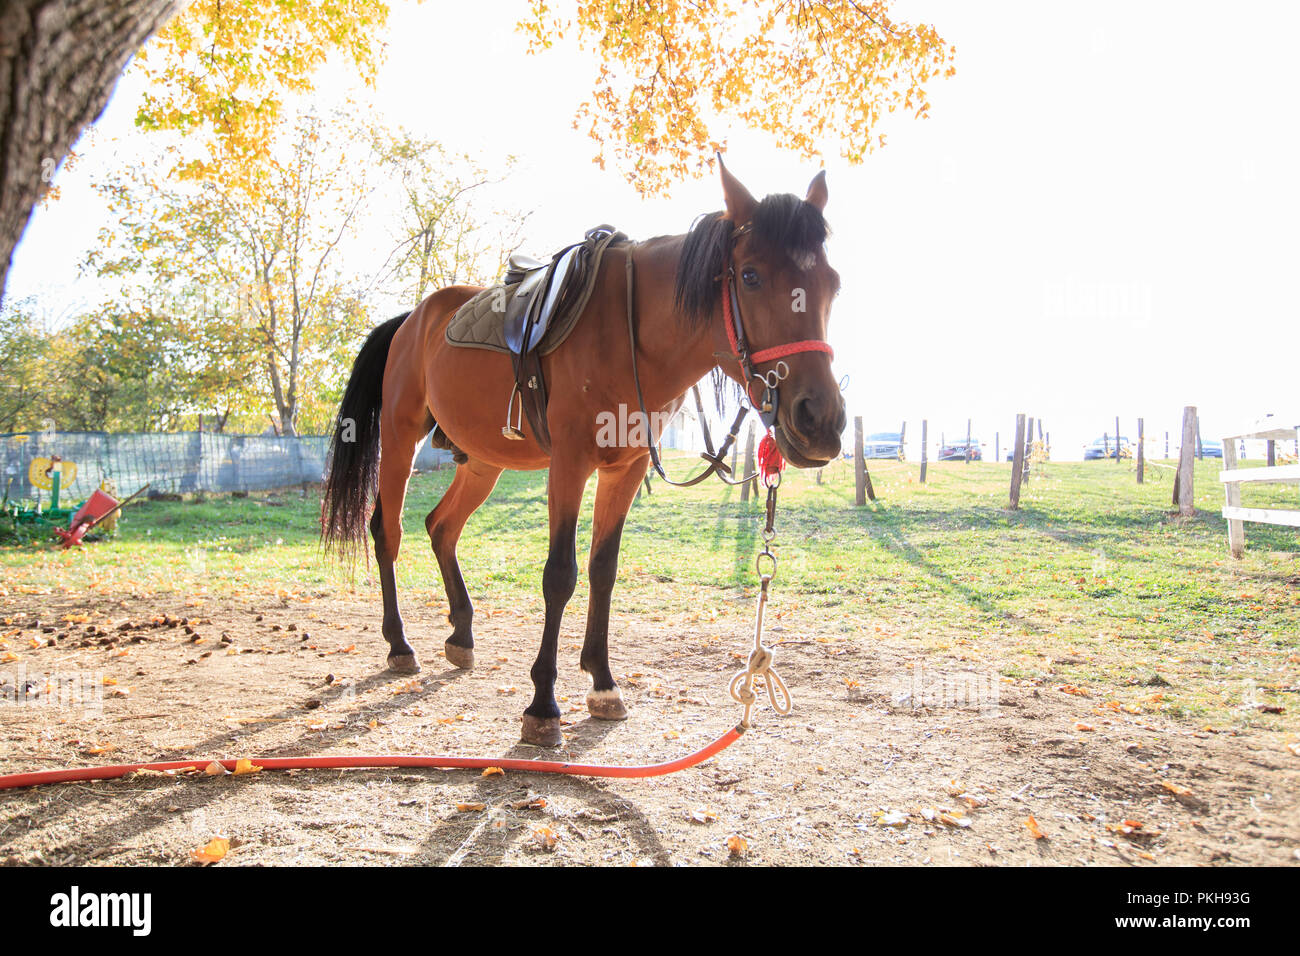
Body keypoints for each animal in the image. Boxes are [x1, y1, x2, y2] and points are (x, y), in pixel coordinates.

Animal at [321, 159, 846, 747]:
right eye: (751, 276)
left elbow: (603, 570)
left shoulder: (625, 470)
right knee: (387, 531)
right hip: (400, 438)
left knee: (441, 527)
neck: (629, 331)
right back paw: (398, 643)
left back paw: (461, 633)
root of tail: (413, 318)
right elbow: (560, 575)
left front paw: (602, 682)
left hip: (483, 461)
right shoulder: (570, 464)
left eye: (832, 283)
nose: (821, 420)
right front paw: (542, 705)